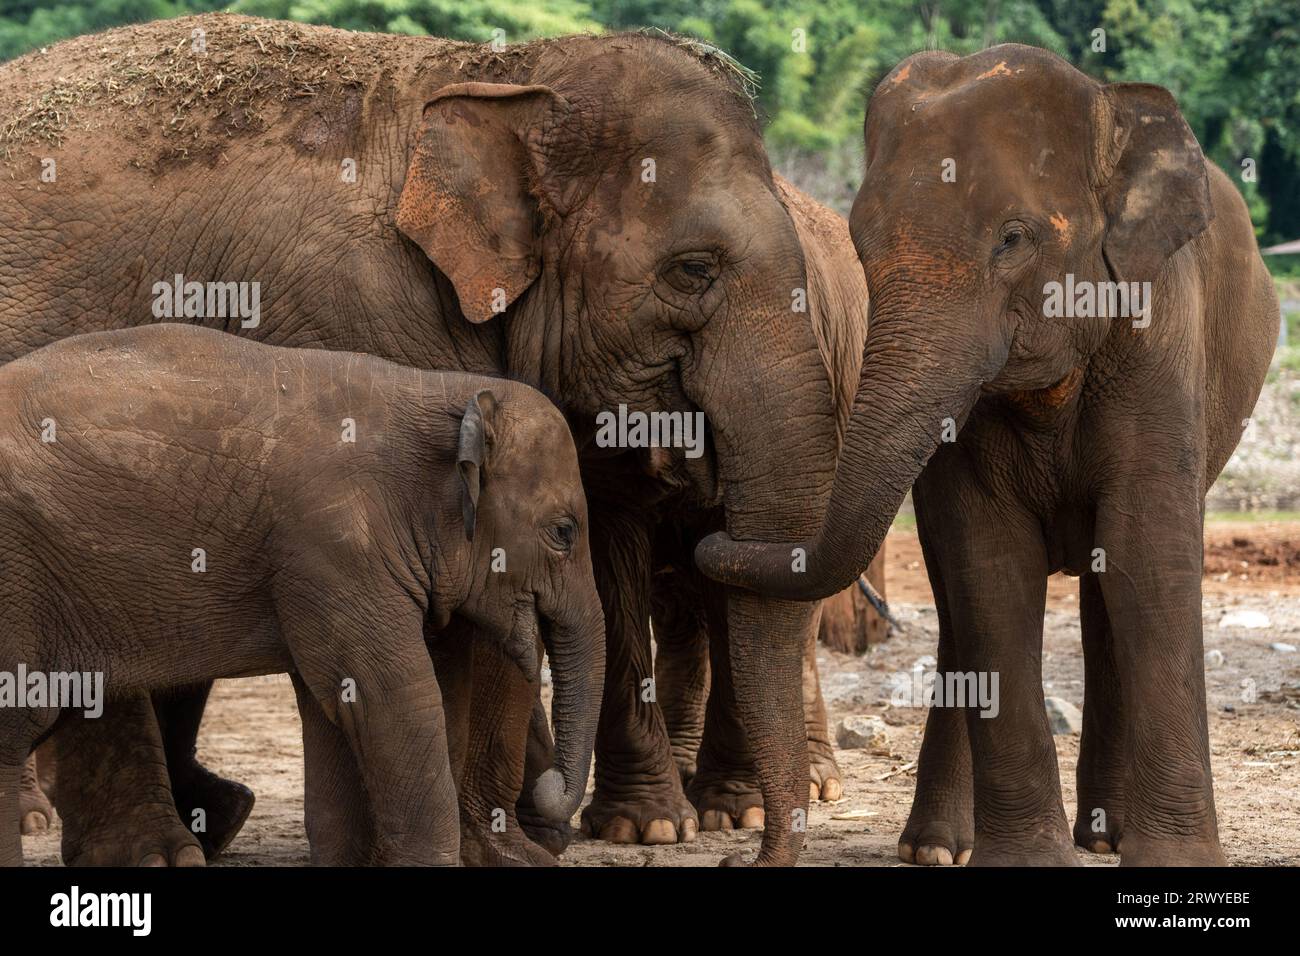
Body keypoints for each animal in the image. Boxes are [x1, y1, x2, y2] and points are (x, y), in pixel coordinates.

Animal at [0, 324, 604, 867]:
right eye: (563, 532)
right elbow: (393, 698)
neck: (446, 394)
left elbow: (336, 705)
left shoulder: (324, 568)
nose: (550, 786)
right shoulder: (332, 547)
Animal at [696, 44, 1280, 866]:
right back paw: (938, 847)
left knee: (1105, 585)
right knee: (958, 600)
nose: (712, 534)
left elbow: (1146, 554)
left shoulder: (1162, 334)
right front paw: (1026, 860)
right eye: (861, 248)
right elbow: (990, 563)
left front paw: (1175, 861)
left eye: (1013, 239)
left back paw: (1104, 837)